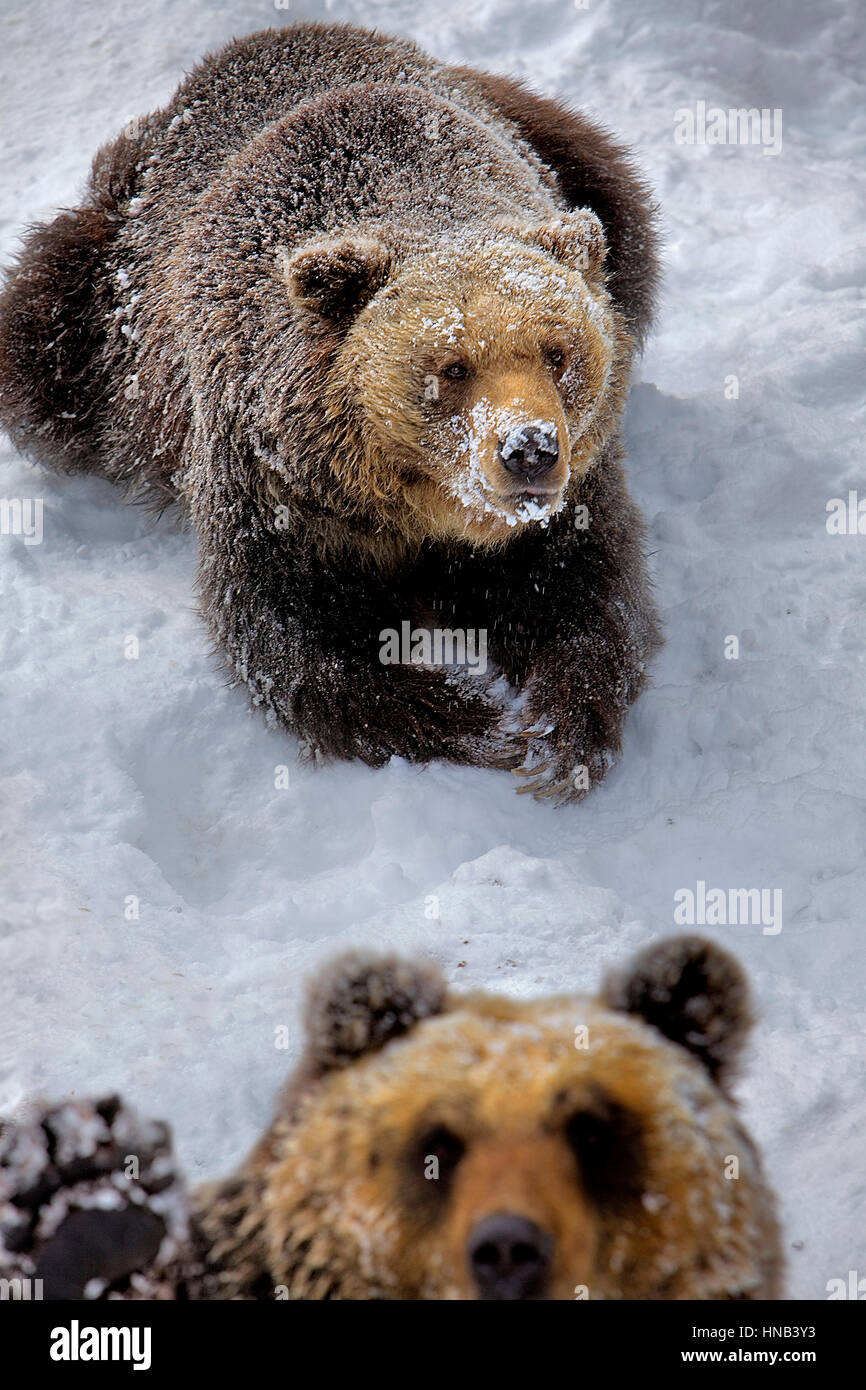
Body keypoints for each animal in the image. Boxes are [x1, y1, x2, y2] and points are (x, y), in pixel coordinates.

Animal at [0, 22, 662, 802]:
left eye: (557, 353)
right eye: (453, 367)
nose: (528, 449)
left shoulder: (570, 490)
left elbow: (583, 585)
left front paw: (559, 728)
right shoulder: (275, 473)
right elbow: (291, 626)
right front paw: (469, 719)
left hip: (570, 158)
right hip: (105, 311)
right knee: (43, 353)